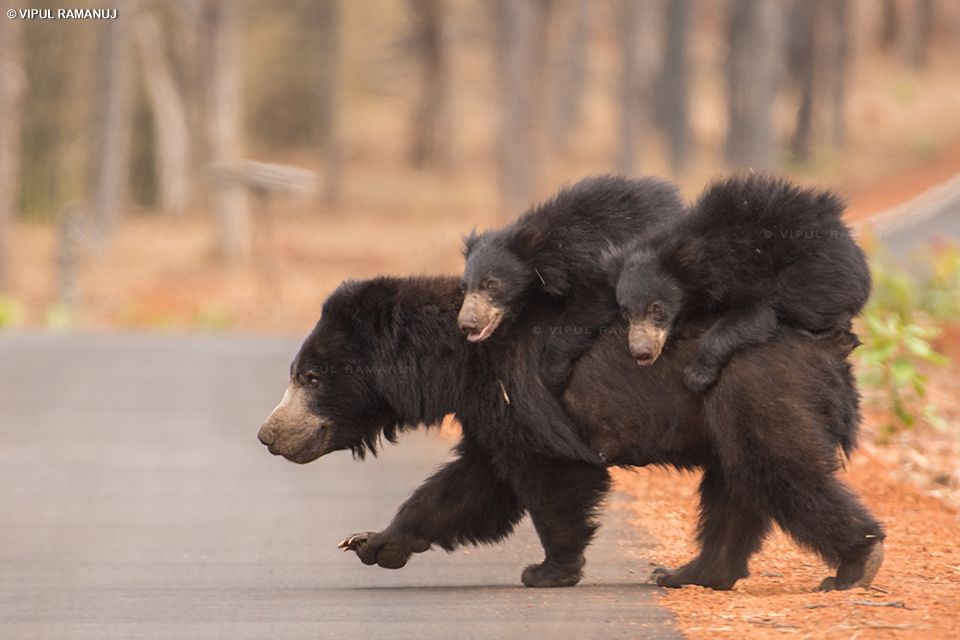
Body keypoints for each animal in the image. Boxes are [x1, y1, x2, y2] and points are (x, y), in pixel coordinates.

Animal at [257, 275, 885, 592]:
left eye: (310, 376)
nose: (268, 434)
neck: (454, 362)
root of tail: (829, 342)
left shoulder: (520, 387)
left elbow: (550, 474)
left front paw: (547, 570)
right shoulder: (488, 410)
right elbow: (473, 485)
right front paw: (374, 542)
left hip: (756, 392)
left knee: (779, 471)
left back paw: (856, 562)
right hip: (724, 411)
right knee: (736, 488)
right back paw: (692, 572)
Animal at [458, 174, 684, 397]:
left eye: (491, 284)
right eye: (465, 287)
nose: (466, 324)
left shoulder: (594, 257)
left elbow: (591, 303)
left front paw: (553, 376)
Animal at [602, 173, 871, 392]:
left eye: (656, 308)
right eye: (626, 314)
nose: (642, 353)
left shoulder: (741, 276)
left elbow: (756, 316)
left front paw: (696, 376)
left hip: (813, 274)